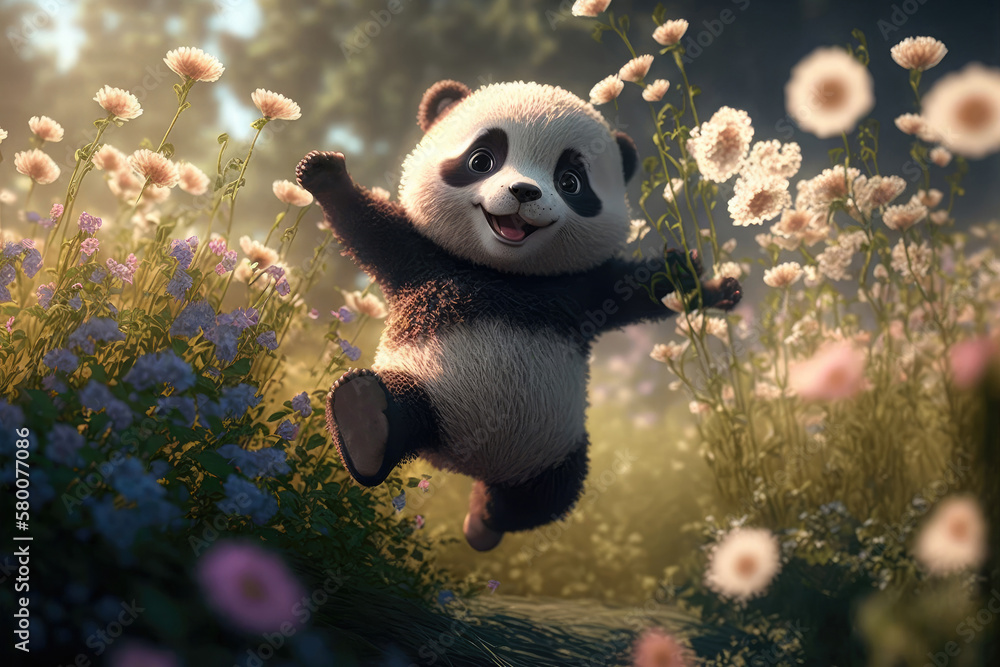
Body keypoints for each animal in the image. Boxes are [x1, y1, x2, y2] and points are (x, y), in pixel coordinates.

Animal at [295, 80, 741, 552]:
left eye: (570, 181)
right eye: (481, 160)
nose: (525, 192)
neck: (504, 274)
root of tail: (466, 461)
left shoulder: (578, 290)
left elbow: (638, 293)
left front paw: (707, 283)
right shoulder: (425, 260)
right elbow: (370, 229)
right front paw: (323, 173)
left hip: (558, 445)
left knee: (547, 497)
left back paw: (481, 523)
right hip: (429, 383)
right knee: (402, 406)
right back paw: (364, 422)